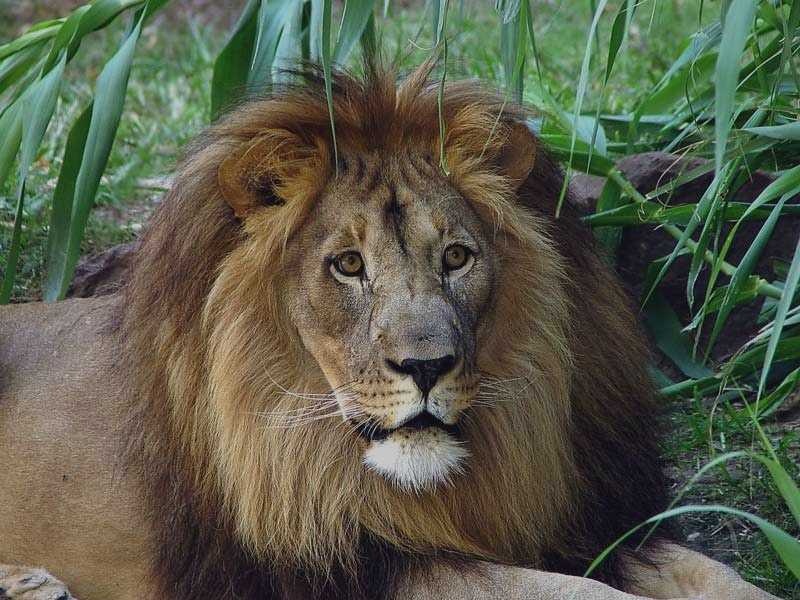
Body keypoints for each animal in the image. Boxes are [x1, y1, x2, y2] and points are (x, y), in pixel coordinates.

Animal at [0, 62, 781, 600]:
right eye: (348, 265)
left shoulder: (593, 521)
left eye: (457, 257)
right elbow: (571, 593)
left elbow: (715, 576)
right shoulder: (343, 571)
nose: (426, 367)